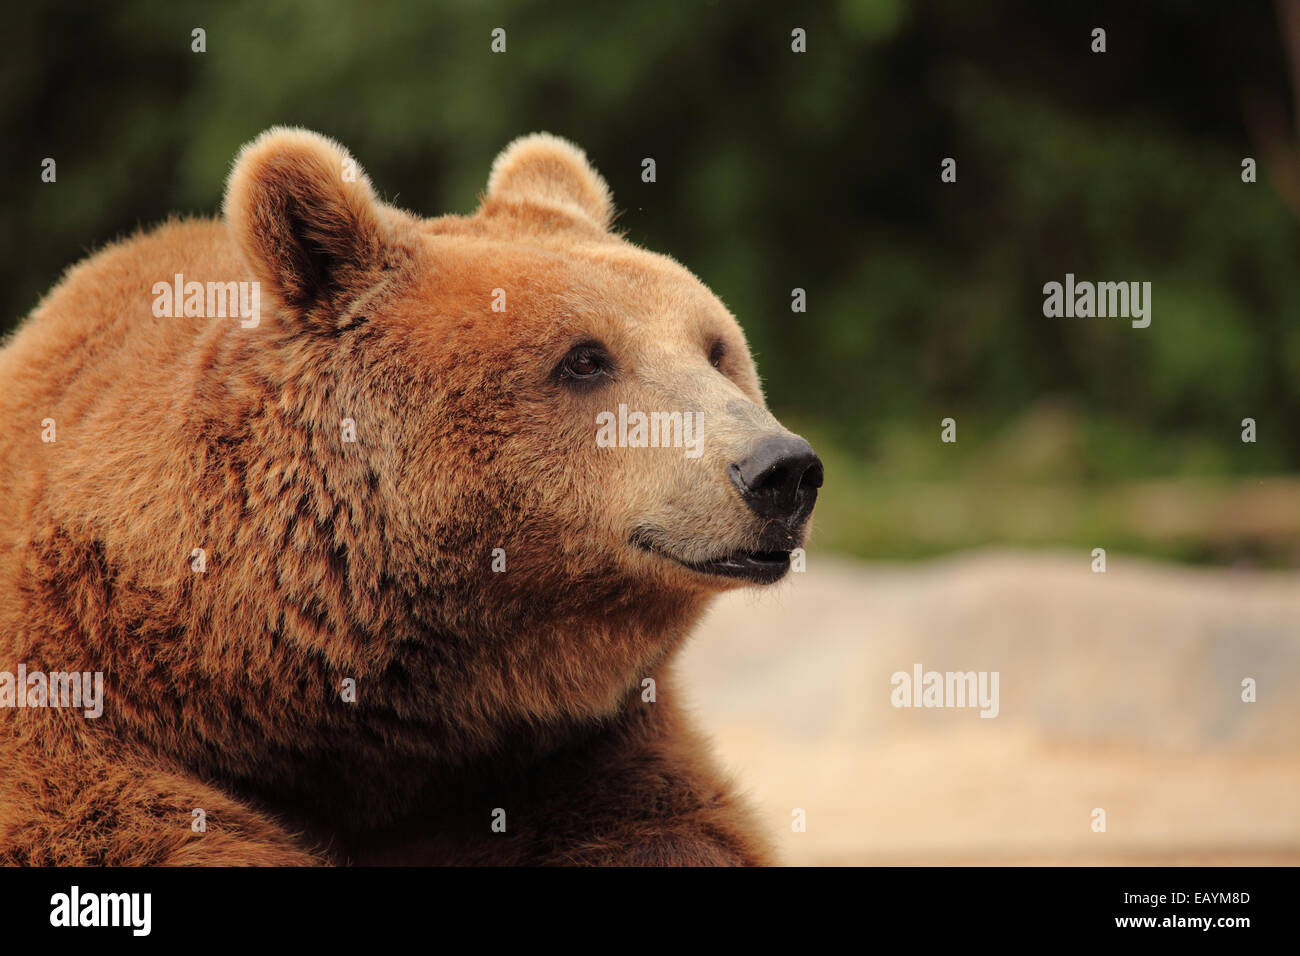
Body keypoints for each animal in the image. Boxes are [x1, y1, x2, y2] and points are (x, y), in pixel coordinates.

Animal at [0, 128, 822, 865]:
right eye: (585, 359)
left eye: (716, 349)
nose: (780, 470)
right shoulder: (69, 704)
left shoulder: (566, 755)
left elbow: (669, 829)